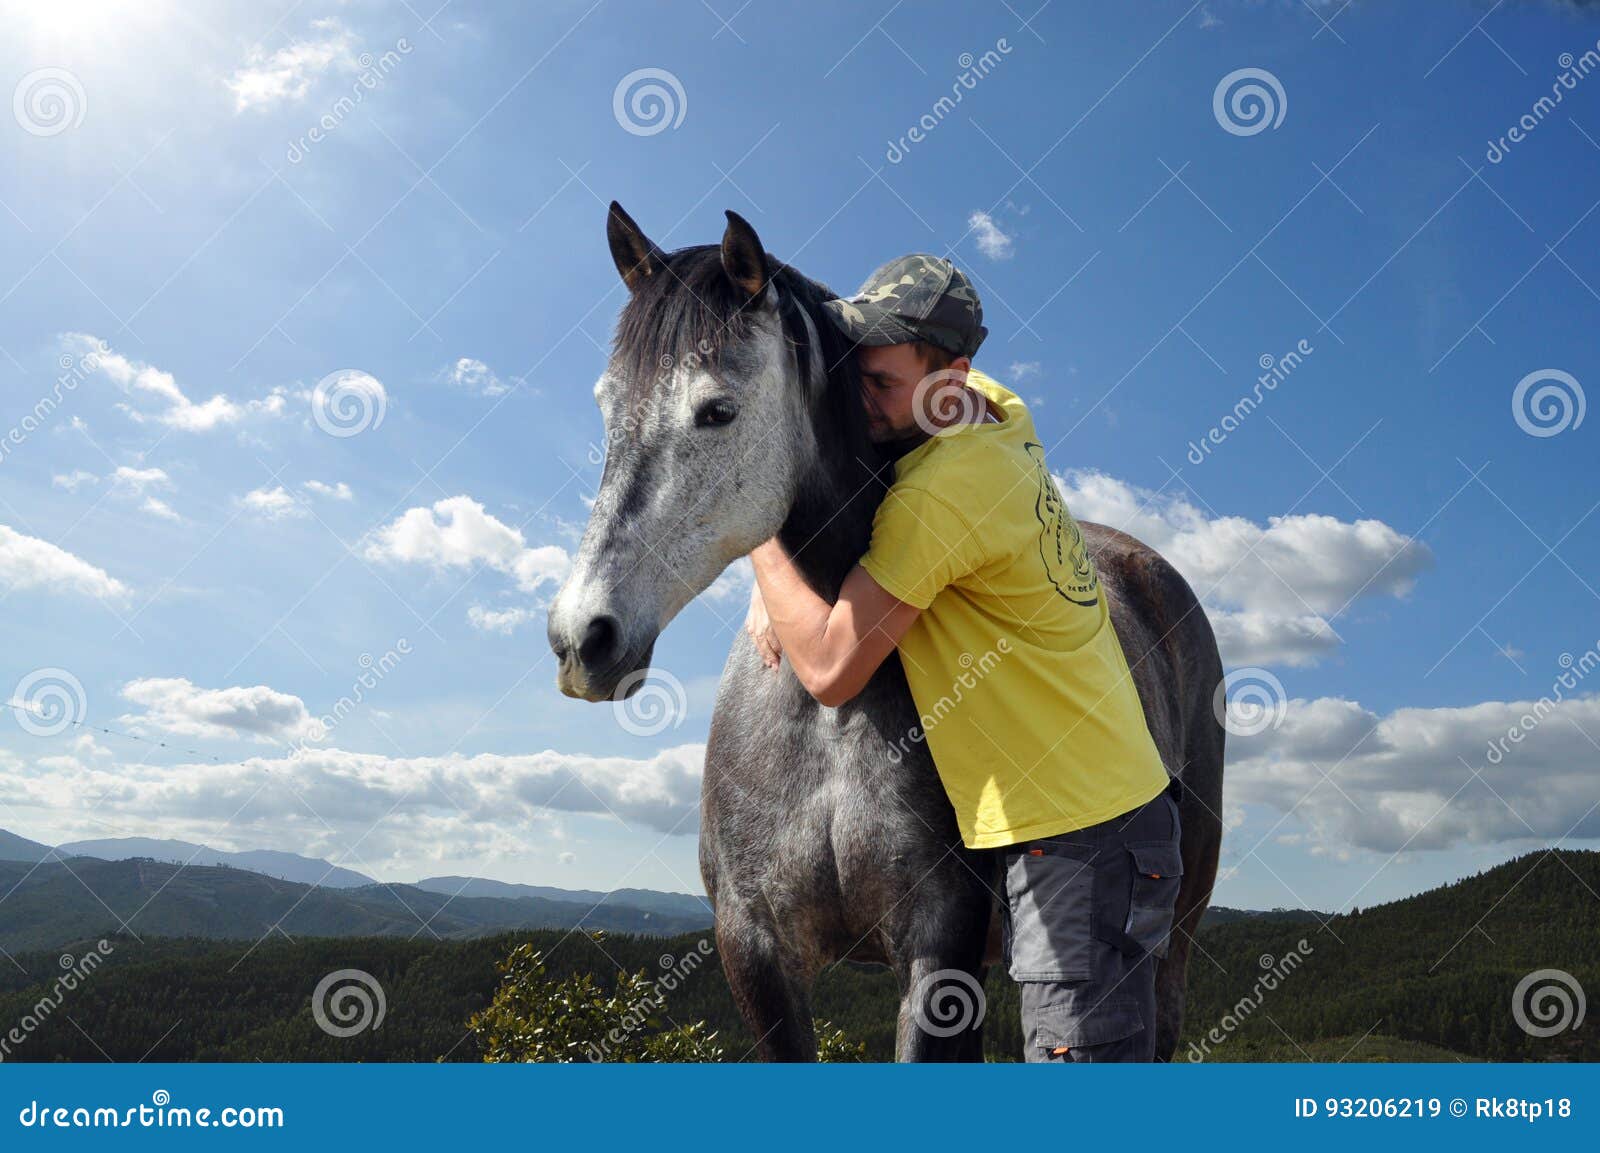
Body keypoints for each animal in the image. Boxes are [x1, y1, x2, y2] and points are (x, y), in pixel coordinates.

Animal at [546, 202, 1225, 1061]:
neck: (828, 713)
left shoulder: (939, 944)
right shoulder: (755, 950)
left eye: (717, 410)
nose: (581, 638)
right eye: (607, 403)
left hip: (1171, 936)